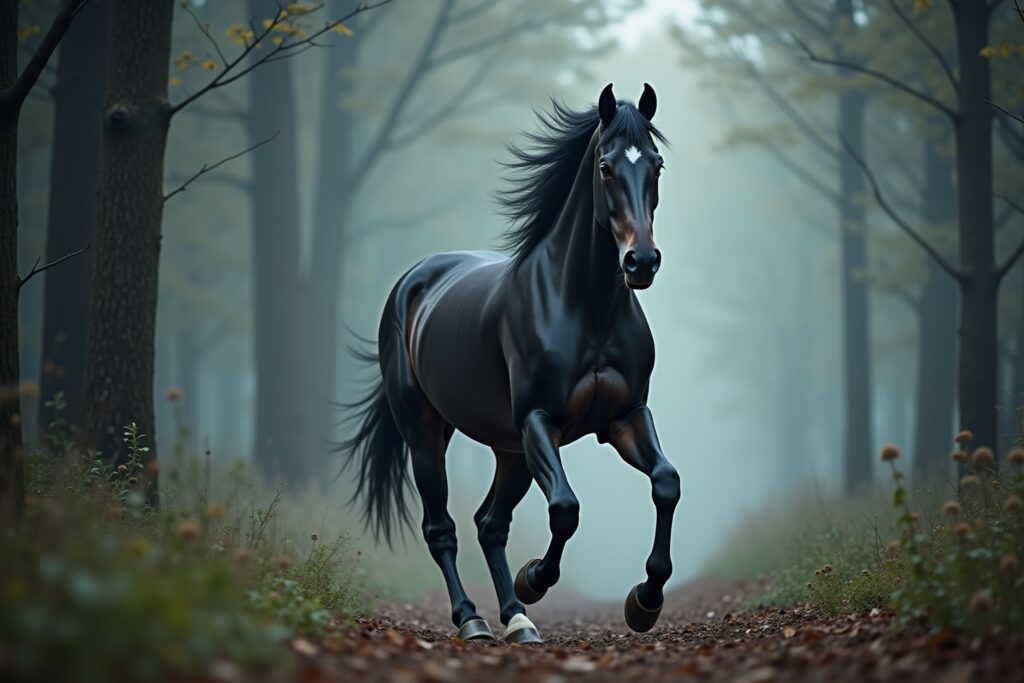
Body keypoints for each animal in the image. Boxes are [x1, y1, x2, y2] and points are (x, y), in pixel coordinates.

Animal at [341, 83, 680, 644]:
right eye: (605, 166)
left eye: (657, 165)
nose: (642, 262)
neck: (589, 309)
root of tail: (412, 282)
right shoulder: (540, 420)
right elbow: (565, 509)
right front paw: (535, 578)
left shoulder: (625, 417)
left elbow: (666, 483)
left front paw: (645, 601)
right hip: (427, 433)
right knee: (442, 529)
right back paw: (473, 618)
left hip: (511, 451)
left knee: (490, 524)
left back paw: (518, 619)